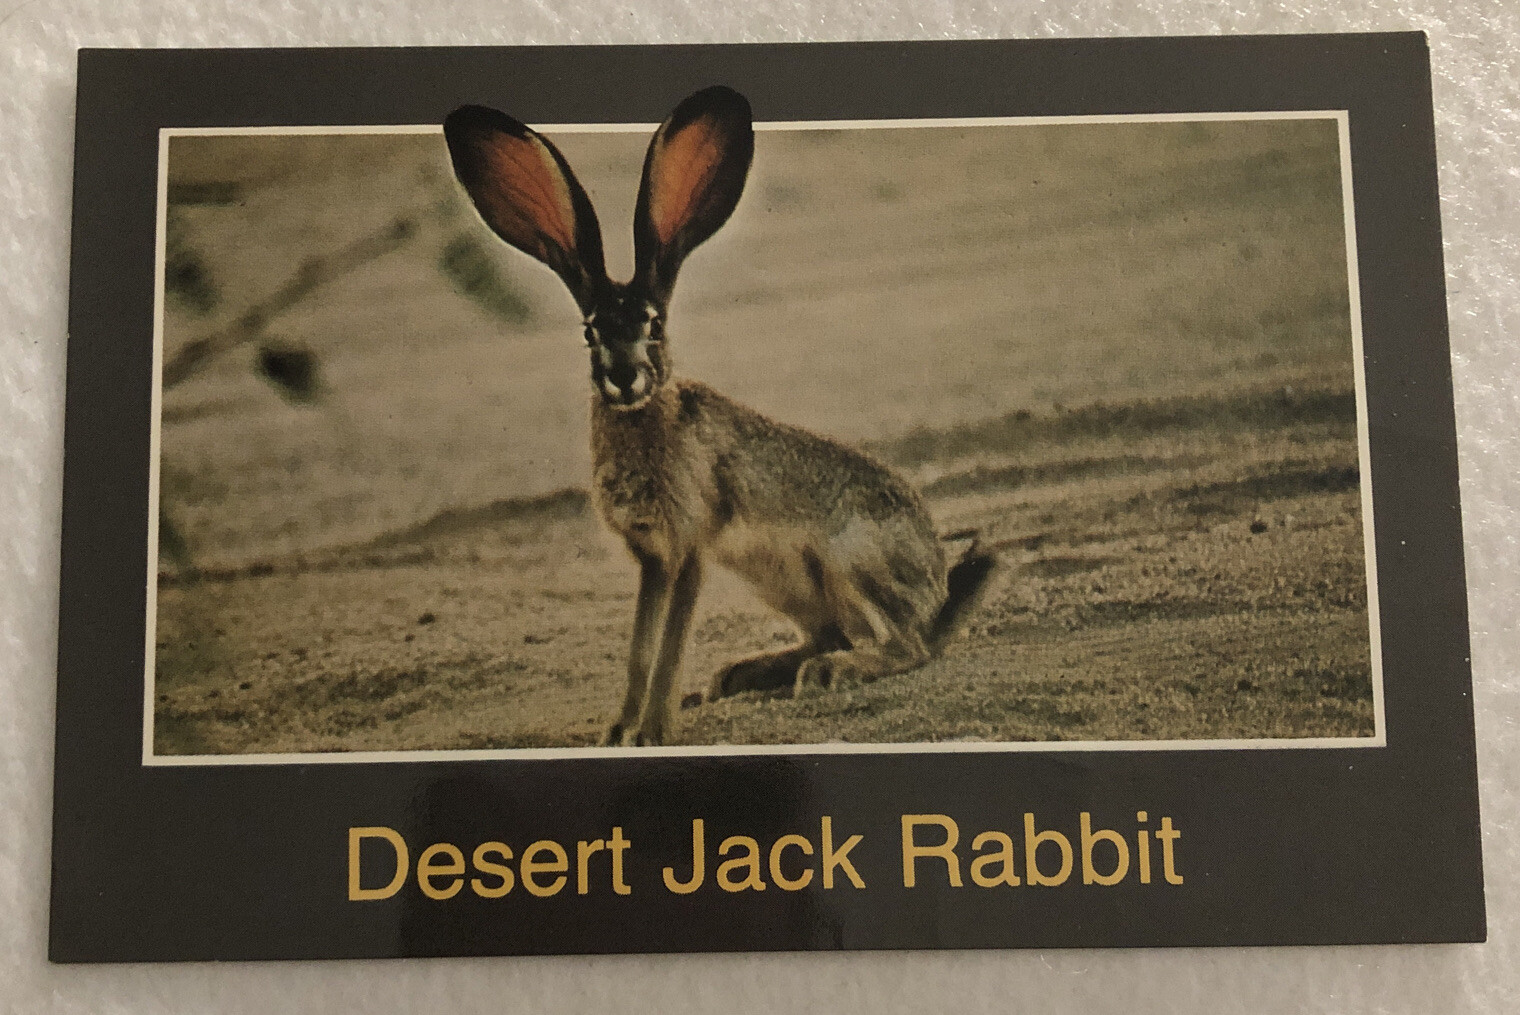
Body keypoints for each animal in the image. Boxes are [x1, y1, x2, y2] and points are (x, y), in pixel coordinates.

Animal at [444, 86, 995, 747]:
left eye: (654, 326)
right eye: (589, 333)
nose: (622, 376)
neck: (645, 417)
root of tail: (938, 590)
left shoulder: (687, 549)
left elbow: (668, 646)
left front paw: (653, 733)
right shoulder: (652, 557)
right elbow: (639, 649)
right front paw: (618, 731)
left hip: (851, 563)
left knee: (906, 646)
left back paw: (830, 672)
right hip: (782, 580)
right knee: (832, 633)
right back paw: (742, 675)